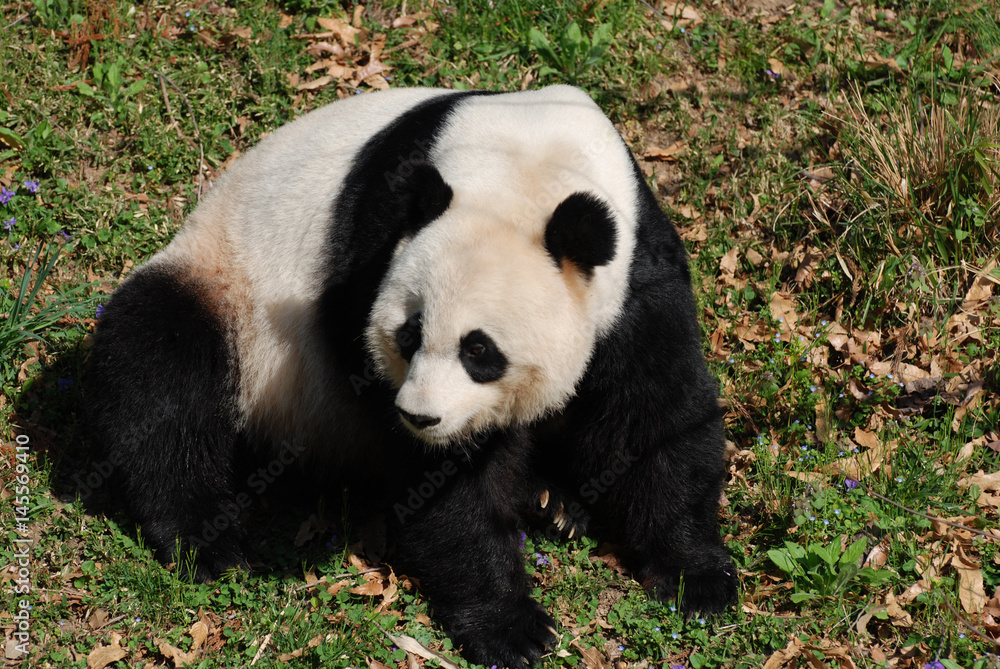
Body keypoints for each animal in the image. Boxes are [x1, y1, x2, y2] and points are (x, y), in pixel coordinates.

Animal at [85, 85, 737, 667]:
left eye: (480, 351)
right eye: (408, 336)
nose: (421, 415)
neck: (526, 166)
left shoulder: (637, 272)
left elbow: (656, 417)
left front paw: (698, 579)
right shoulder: (371, 256)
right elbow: (436, 476)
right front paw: (511, 626)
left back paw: (556, 502)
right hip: (227, 289)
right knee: (162, 364)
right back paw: (209, 540)